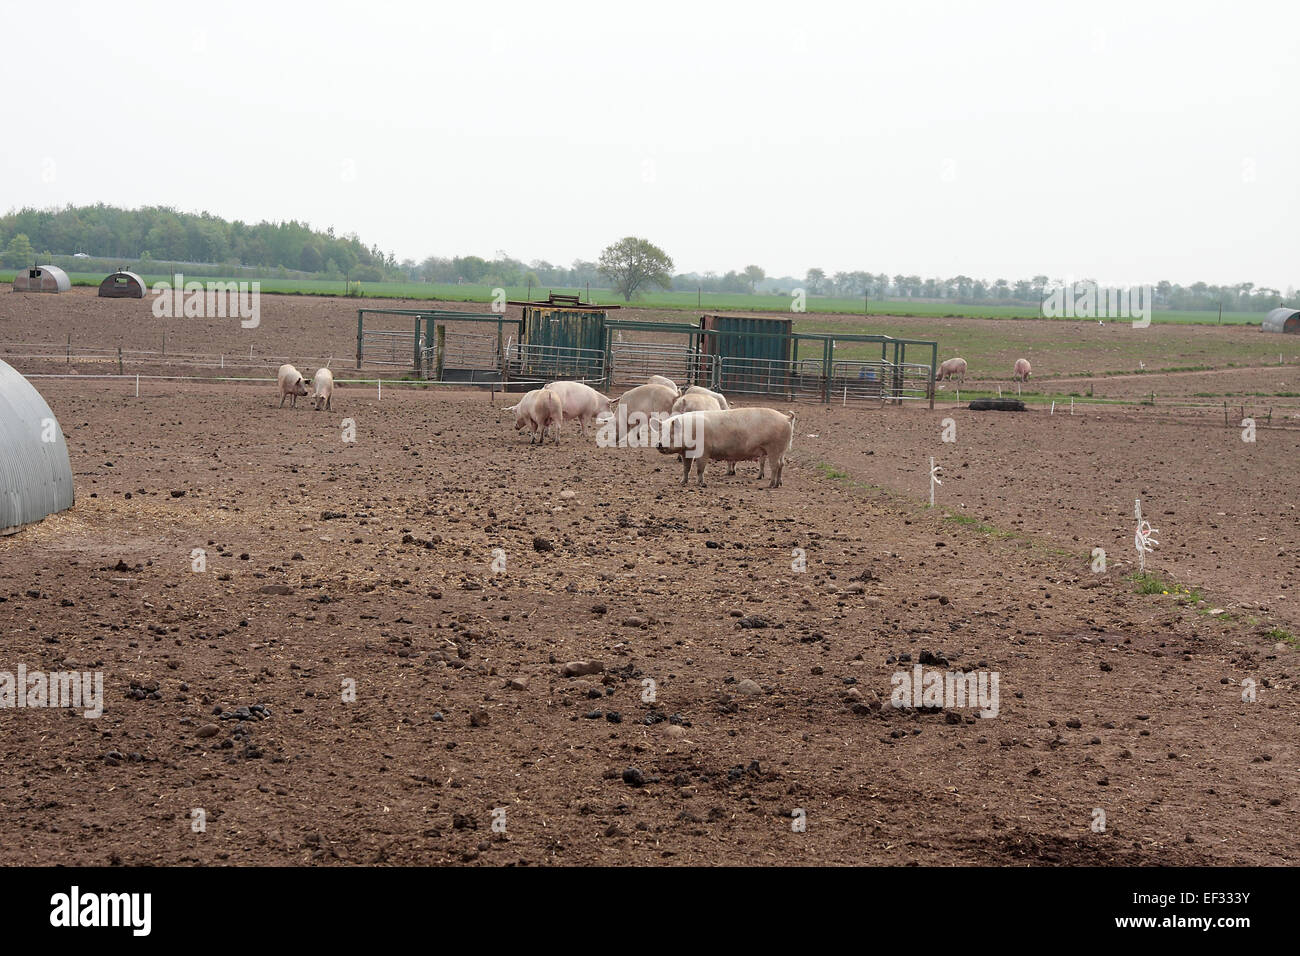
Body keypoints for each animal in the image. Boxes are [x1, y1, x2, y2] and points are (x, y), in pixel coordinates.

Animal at [653, 407, 795, 489]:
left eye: (671, 433)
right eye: (660, 432)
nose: (658, 444)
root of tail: (786, 418)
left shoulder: (704, 450)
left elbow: (700, 468)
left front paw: (701, 484)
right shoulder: (686, 452)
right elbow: (686, 468)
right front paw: (682, 483)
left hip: (774, 448)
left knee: (775, 466)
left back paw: (771, 485)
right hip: (782, 450)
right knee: (782, 464)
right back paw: (779, 484)